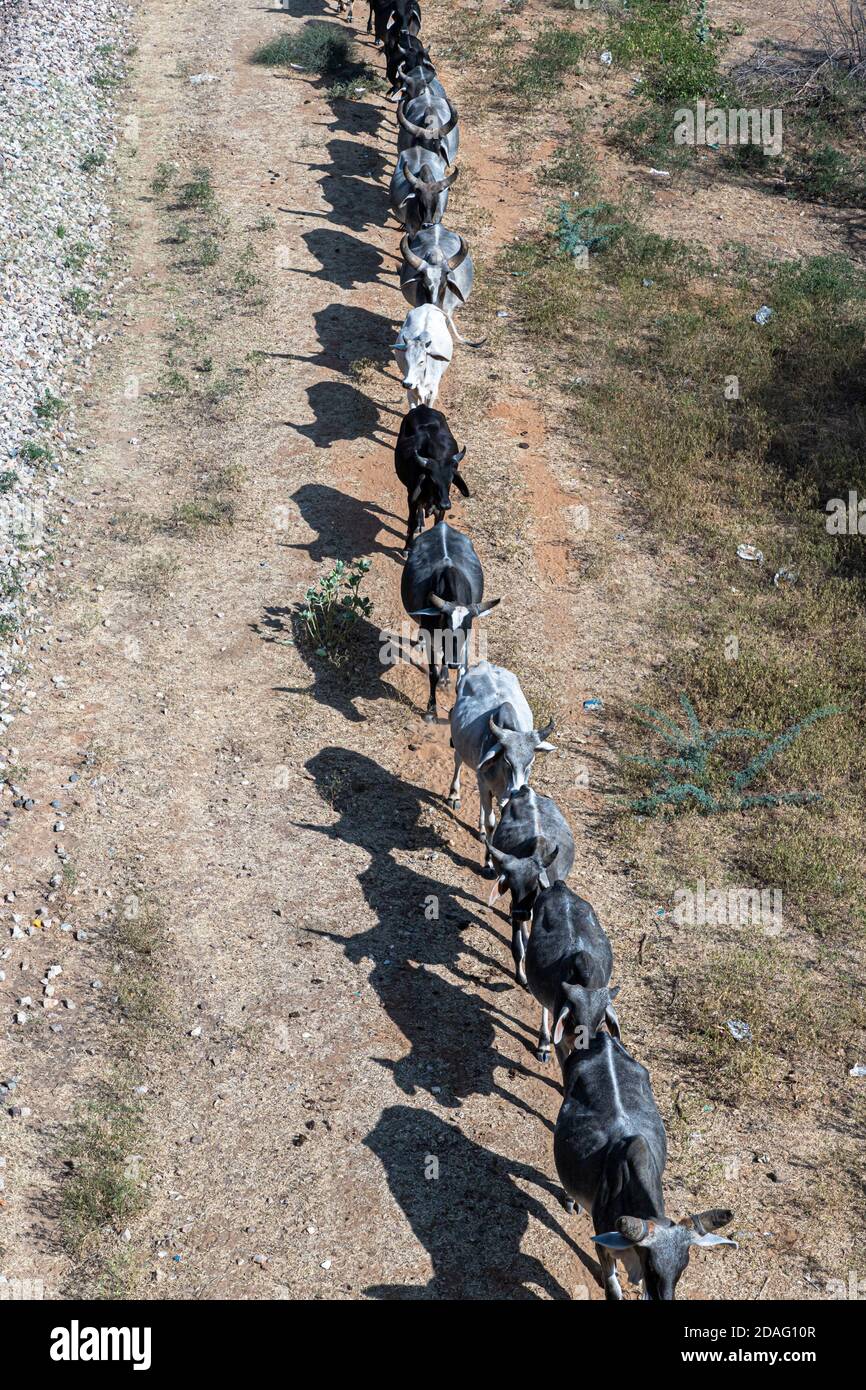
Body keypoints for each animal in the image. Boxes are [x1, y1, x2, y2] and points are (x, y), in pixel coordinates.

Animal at [394, 405, 469, 555]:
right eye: (433, 481)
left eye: (450, 480)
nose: (446, 504)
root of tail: (422, 407)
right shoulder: (411, 497)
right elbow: (411, 522)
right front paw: (407, 548)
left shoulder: (440, 510)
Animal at [401, 522, 500, 720]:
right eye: (444, 626)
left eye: (467, 629)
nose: (453, 663)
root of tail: (442, 525)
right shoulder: (433, 639)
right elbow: (433, 673)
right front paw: (431, 710)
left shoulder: (464, 646)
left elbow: (462, 676)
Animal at [448, 661, 556, 871]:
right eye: (506, 760)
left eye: (531, 762)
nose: (516, 790)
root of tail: (484, 664)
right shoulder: (484, 783)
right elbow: (491, 822)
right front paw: (488, 862)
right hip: (460, 747)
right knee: (457, 761)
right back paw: (454, 795)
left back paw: (481, 831)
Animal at [485, 785, 574, 989]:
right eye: (512, 886)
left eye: (534, 887)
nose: (520, 914)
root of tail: (527, 789)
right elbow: (517, 948)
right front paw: (521, 977)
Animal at [556, 1032, 737, 1299]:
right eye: (652, 1266)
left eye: (683, 1266)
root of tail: (604, 1037)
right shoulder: (603, 1245)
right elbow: (612, 1285)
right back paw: (572, 1200)